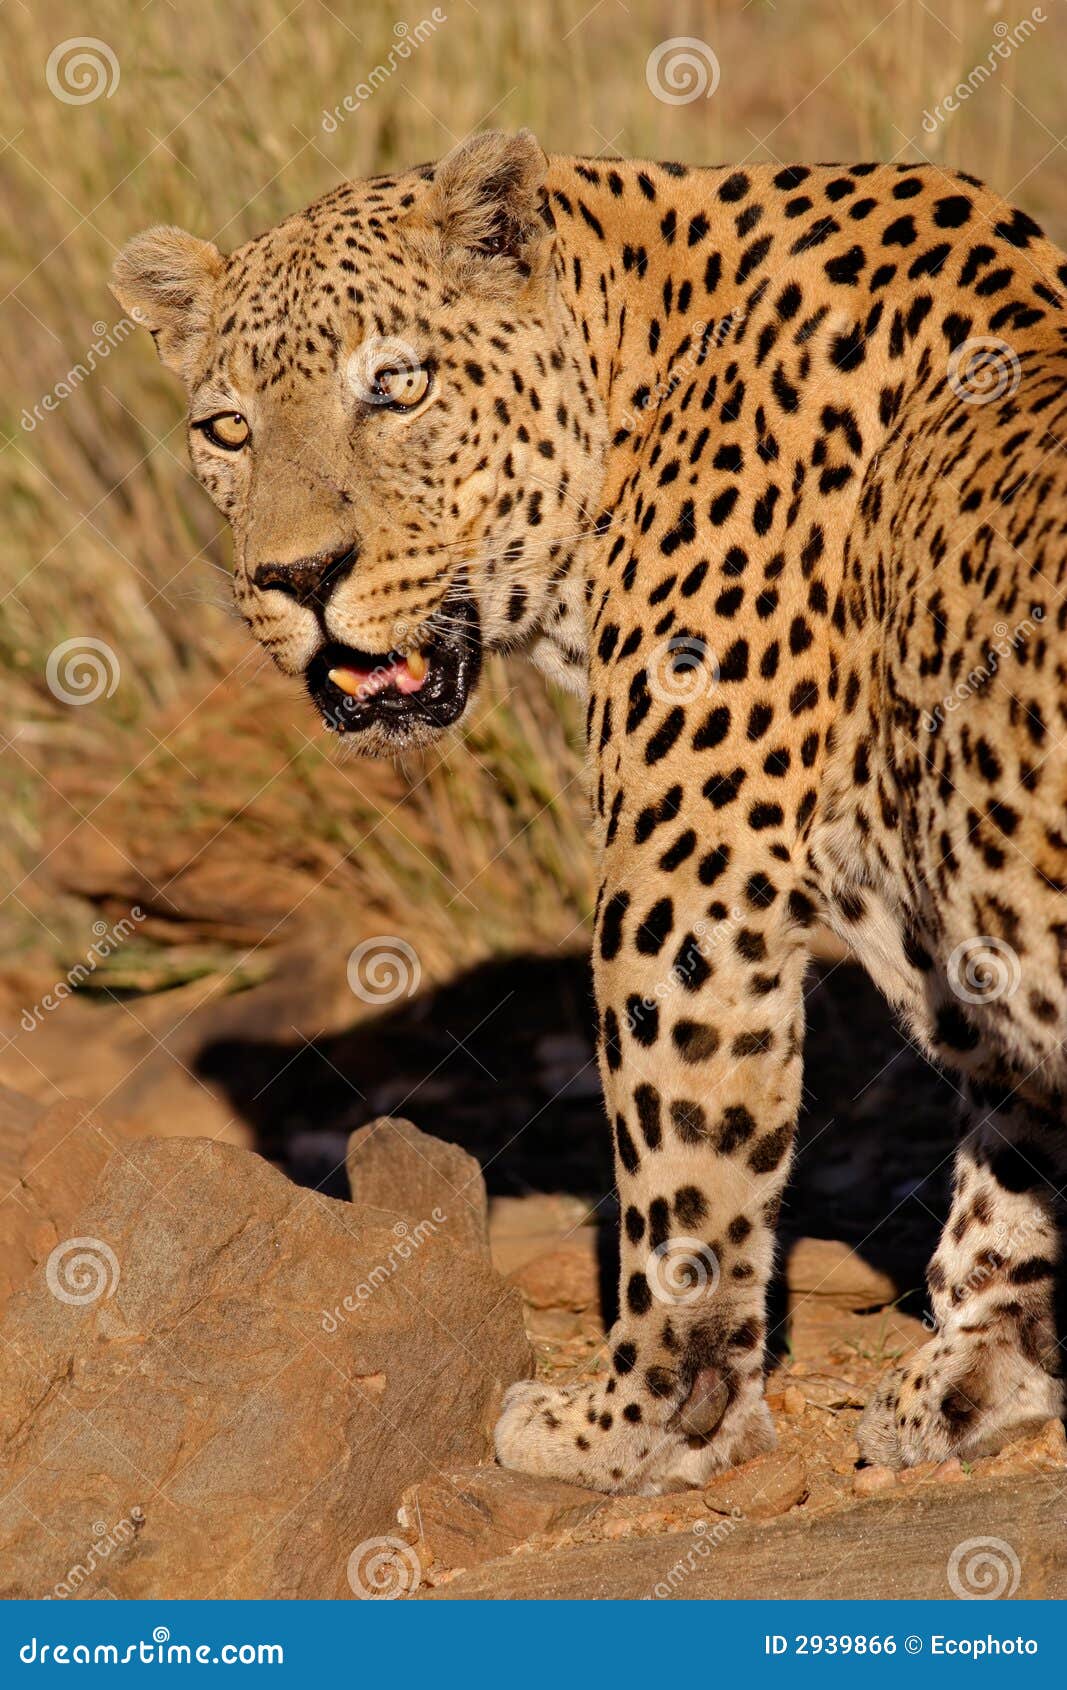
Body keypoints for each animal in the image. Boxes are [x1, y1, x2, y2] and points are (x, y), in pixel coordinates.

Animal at [112, 128, 1067, 1495]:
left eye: (395, 388)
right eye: (227, 427)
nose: (294, 577)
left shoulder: (692, 881)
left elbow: (681, 1171)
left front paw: (642, 1420)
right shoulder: (947, 912)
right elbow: (1011, 1132)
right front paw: (986, 1364)